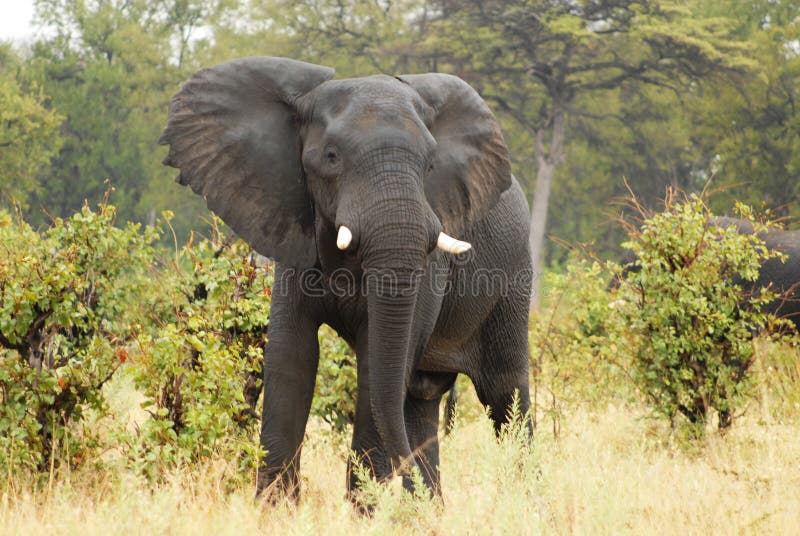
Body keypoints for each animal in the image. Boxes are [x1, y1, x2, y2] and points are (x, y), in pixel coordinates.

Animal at [158, 57, 533, 500]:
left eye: (429, 164)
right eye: (332, 156)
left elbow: (377, 365)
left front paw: (364, 509)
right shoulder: (296, 231)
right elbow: (290, 357)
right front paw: (274, 507)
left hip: (513, 280)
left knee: (504, 394)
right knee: (421, 397)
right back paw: (426, 505)